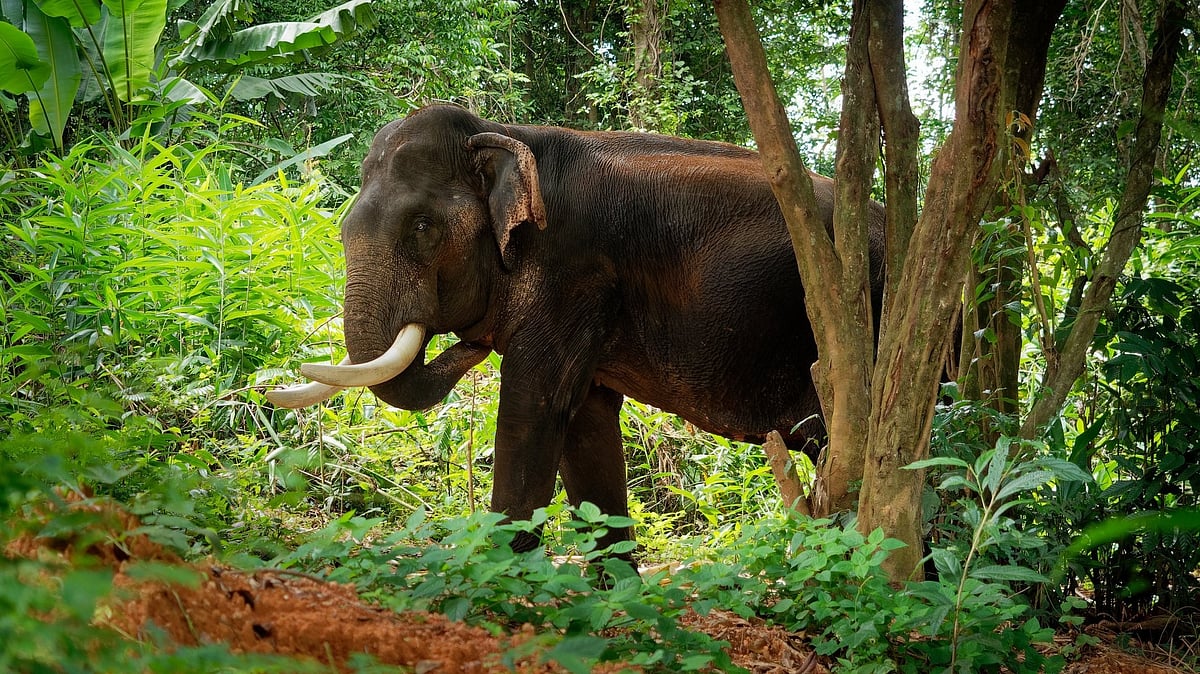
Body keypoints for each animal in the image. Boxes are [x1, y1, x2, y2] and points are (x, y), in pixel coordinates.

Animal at [267, 104, 885, 560]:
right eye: (343, 229)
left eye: (423, 227)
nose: (468, 340)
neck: (509, 134)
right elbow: (585, 428)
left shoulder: (575, 277)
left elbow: (532, 411)